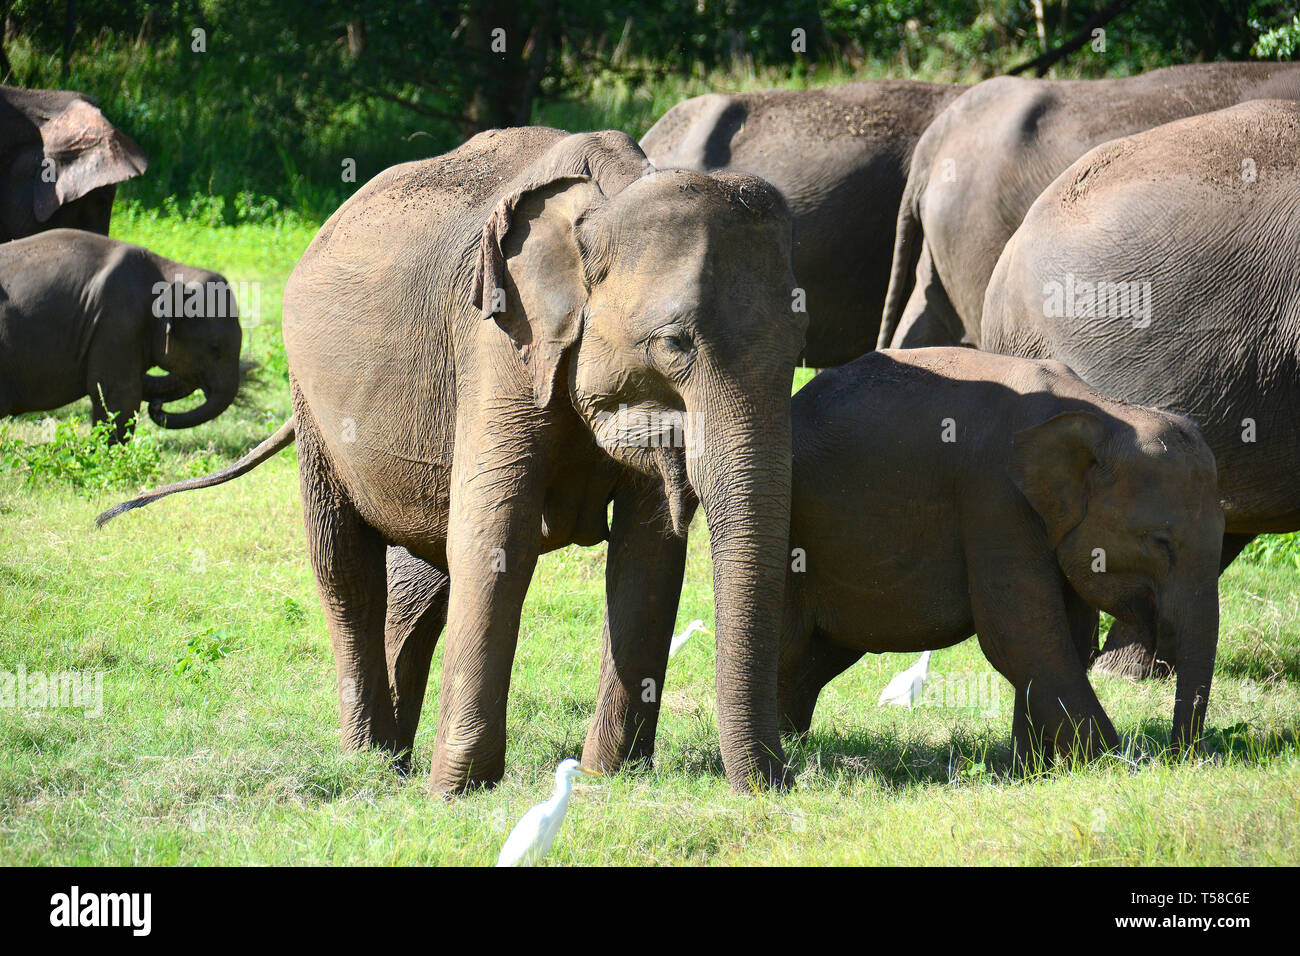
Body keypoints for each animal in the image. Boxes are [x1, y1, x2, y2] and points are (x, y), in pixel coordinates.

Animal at [97, 127, 807, 794]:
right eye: (672, 344)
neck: (610, 198)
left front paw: (609, 779)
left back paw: (395, 758)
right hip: (314, 406)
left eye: (799, 347)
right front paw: (458, 792)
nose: (778, 783)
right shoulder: (500, 341)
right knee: (344, 567)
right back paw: (371, 762)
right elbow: (497, 534)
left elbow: (650, 552)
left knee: (418, 585)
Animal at [777, 347, 1223, 764]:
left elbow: (1066, 636)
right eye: (1160, 541)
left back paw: (792, 742)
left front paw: (1035, 769)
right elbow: (1019, 634)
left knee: (819, 655)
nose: (1177, 757)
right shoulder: (994, 498)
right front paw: (1112, 764)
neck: (1105, 410)